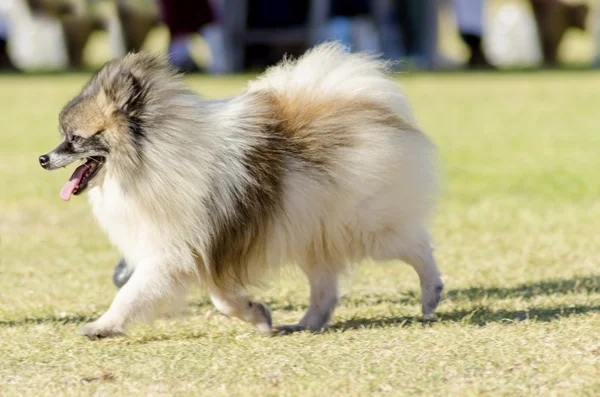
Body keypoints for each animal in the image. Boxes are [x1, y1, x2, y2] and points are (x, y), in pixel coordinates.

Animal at [37, 42, 440, 338]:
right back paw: (305, 324)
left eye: (75, 139)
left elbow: (131, 294)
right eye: (63, 137)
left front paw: (101, 326)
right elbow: (222, 298)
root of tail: (360, 103)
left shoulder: (174, 253)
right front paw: (258, 314)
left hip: (362, 225)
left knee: (417, 244)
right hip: (312, 229)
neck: (151, 159)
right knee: (325, 288)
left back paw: (431, 294)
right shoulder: (203, 248)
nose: (42, 158)